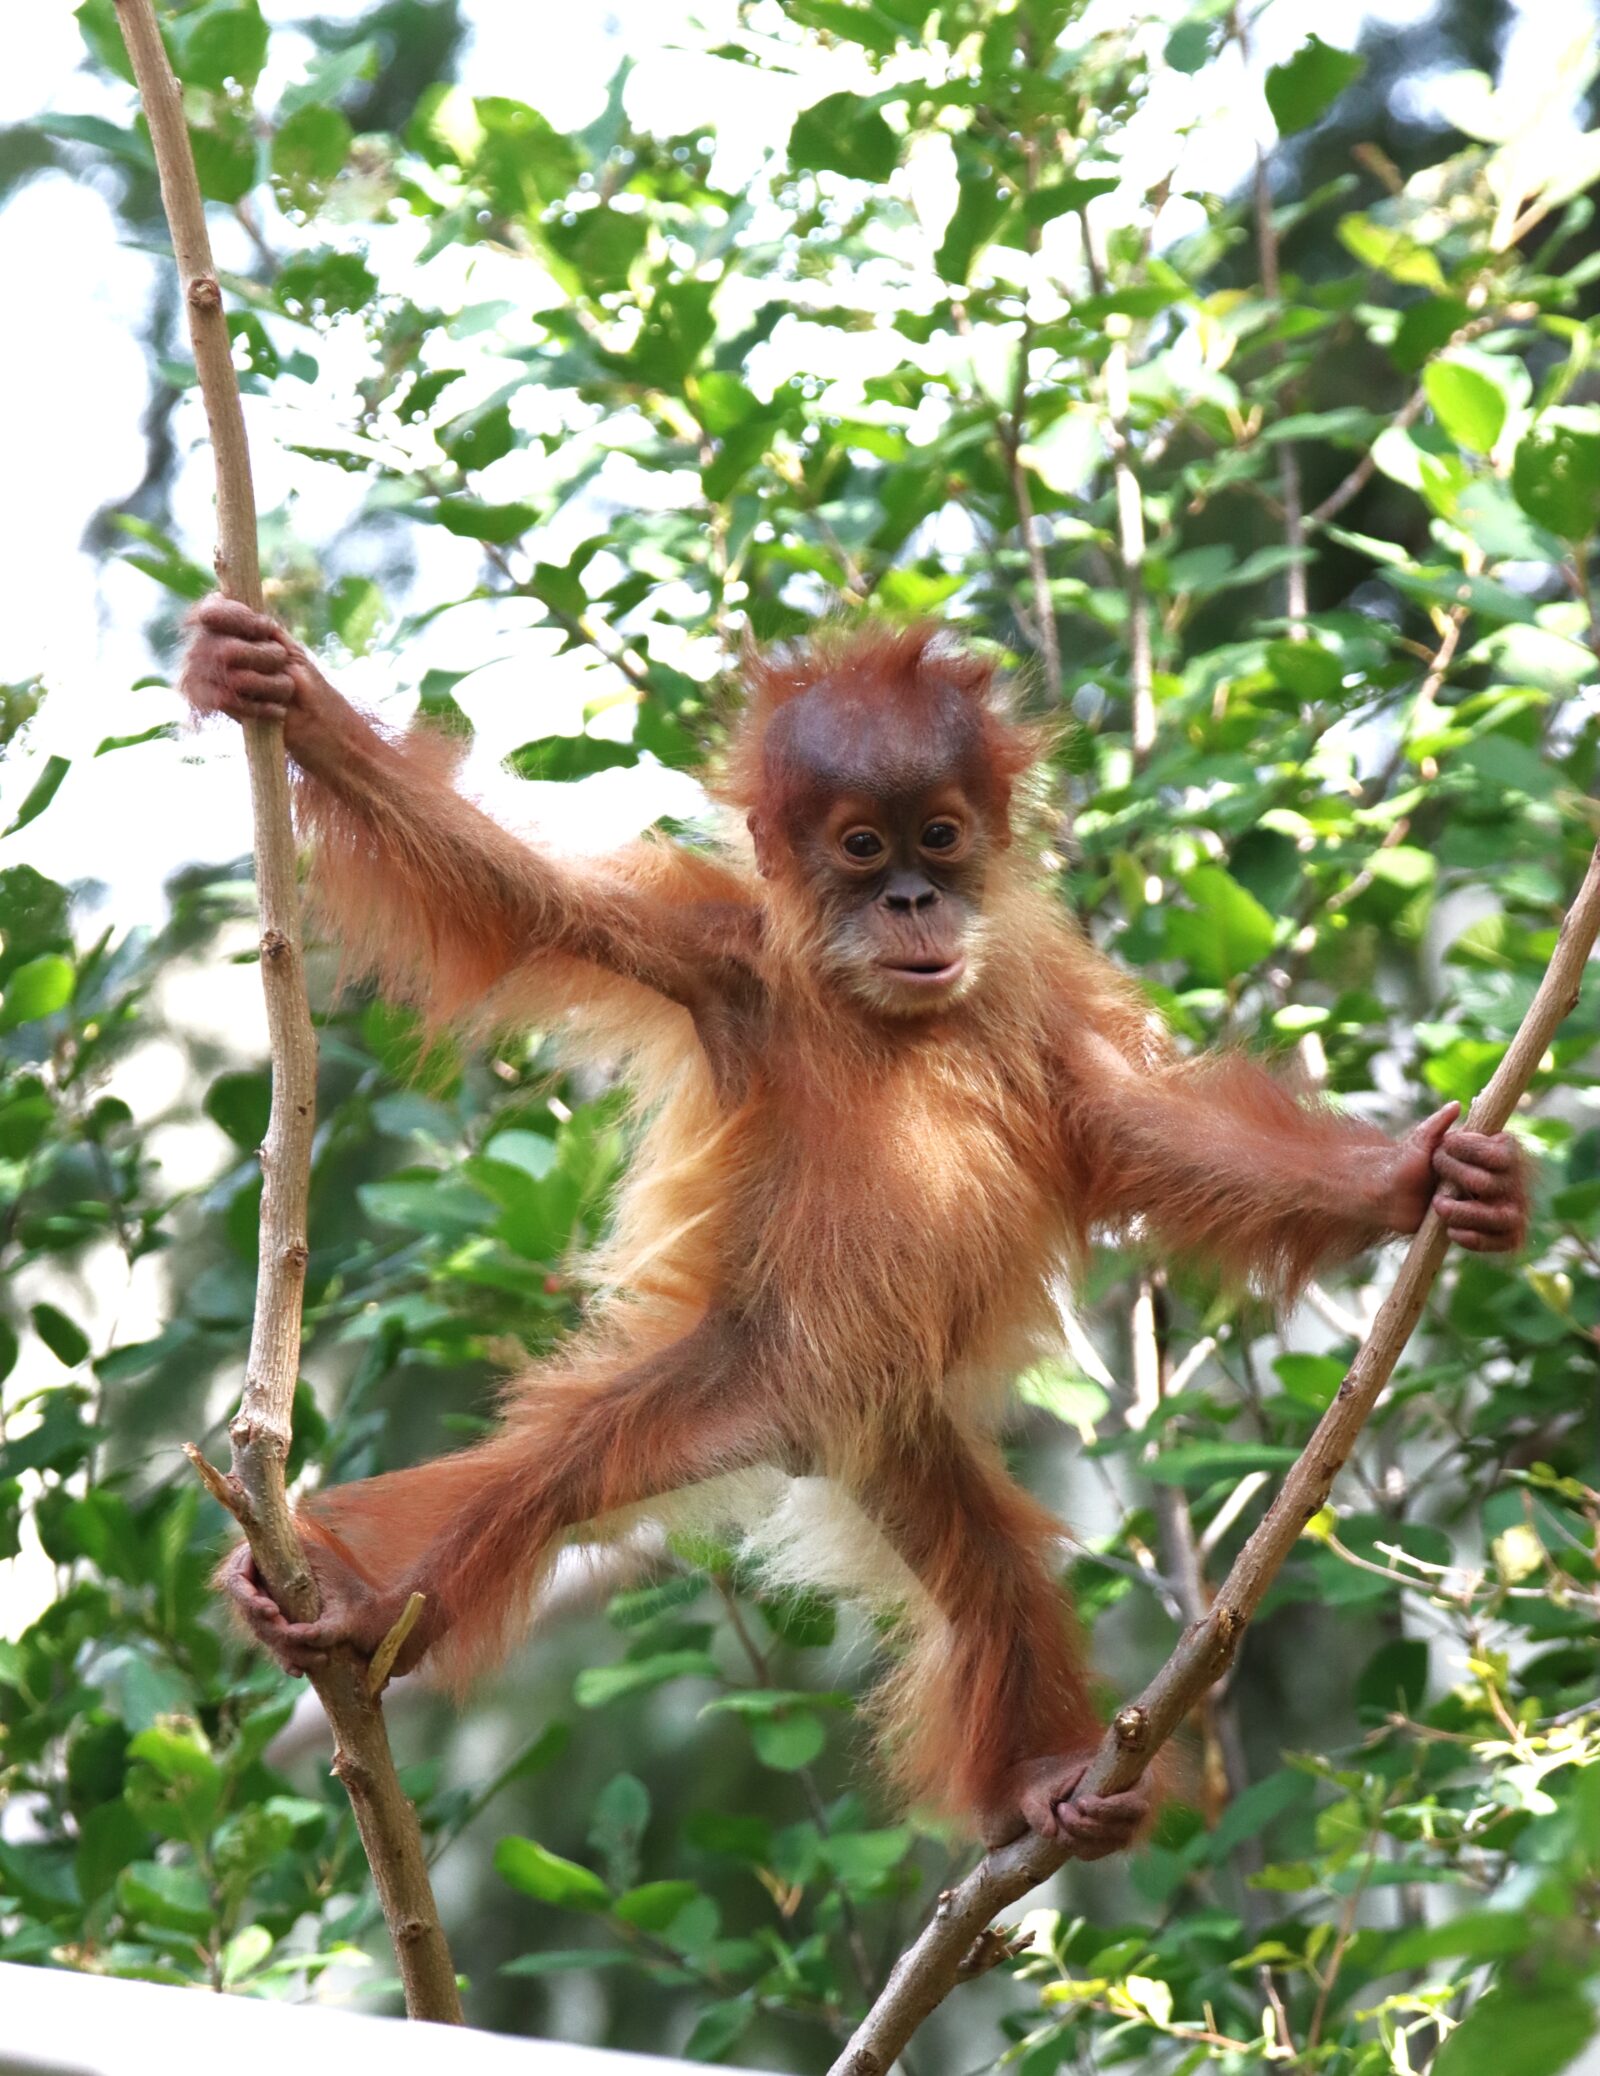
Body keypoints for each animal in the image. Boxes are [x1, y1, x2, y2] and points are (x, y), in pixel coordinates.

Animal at [181, 599, 1529, 1855]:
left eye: (939, 834)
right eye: (862, 847)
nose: (913, 898)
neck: (889, 1011)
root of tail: (806, 1432)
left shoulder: (1036, 1010)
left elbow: (1140, 1125)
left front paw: (1416, 1180)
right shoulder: (713, 959)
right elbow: (521, 895)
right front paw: (290, 700)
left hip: (900, 1436)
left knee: (990, 1578)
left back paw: (1038, 1782)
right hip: (743, 1375)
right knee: (546, 1473)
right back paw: (363, 1603)